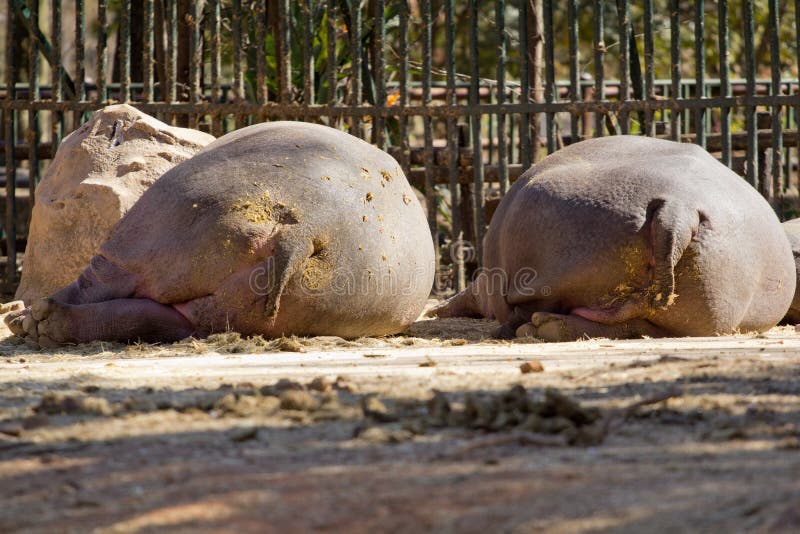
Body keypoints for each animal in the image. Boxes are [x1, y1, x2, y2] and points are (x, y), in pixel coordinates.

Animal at [432, 135, 795, 341]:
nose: (436, 310)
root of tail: (680, 208)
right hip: (701, 313)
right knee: (635, 326)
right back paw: (546, 328)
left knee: (523, 310)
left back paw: (528, 329)